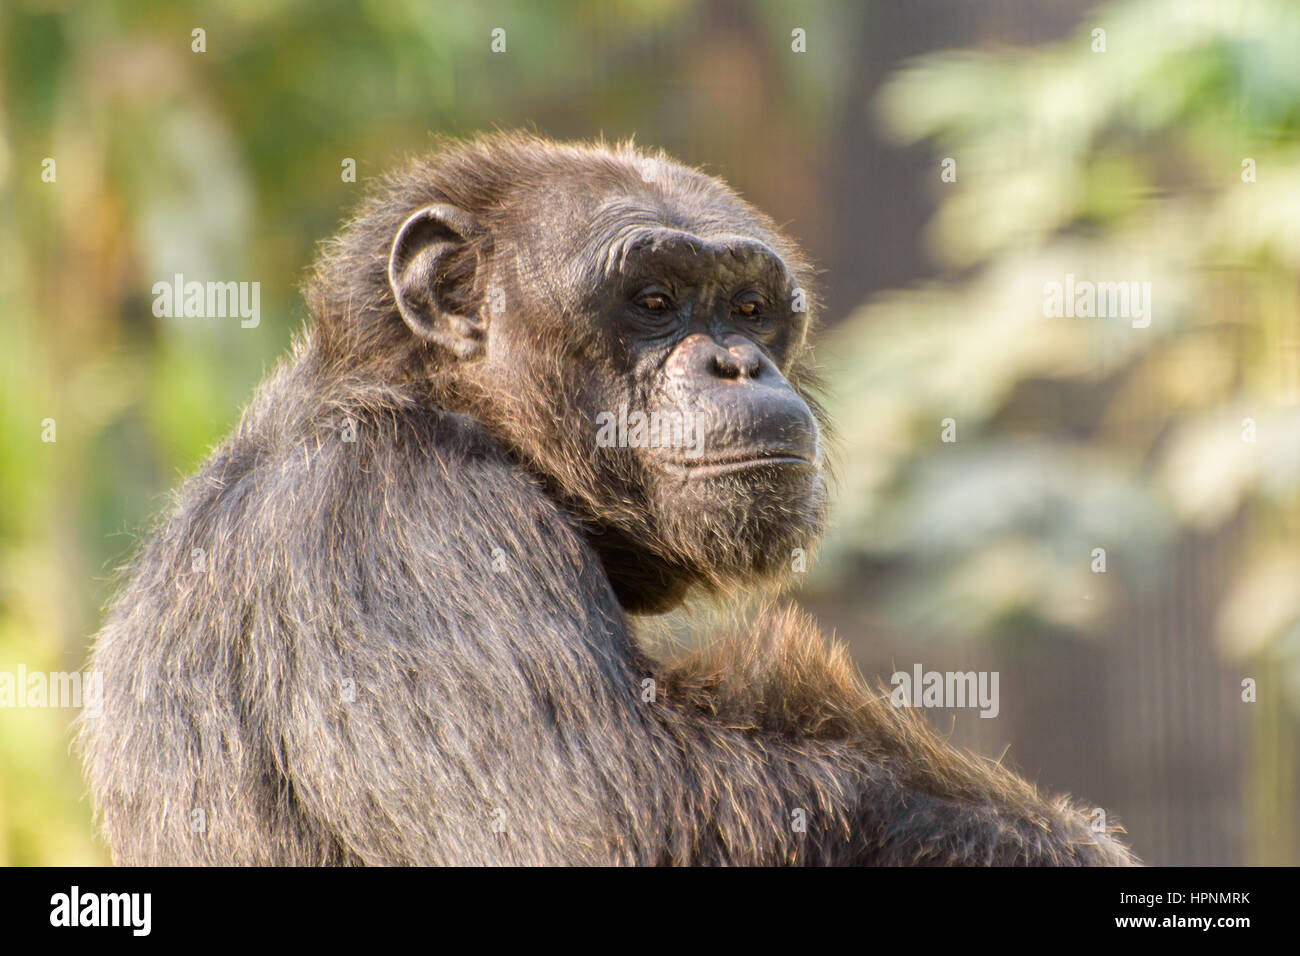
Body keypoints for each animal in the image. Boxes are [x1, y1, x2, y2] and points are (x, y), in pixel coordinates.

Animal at [77, 132, 1136, 865]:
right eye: (654, 300)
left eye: (748, 308)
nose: (737, 362)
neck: (451, 404)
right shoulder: (411, 526)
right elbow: (614, 812)